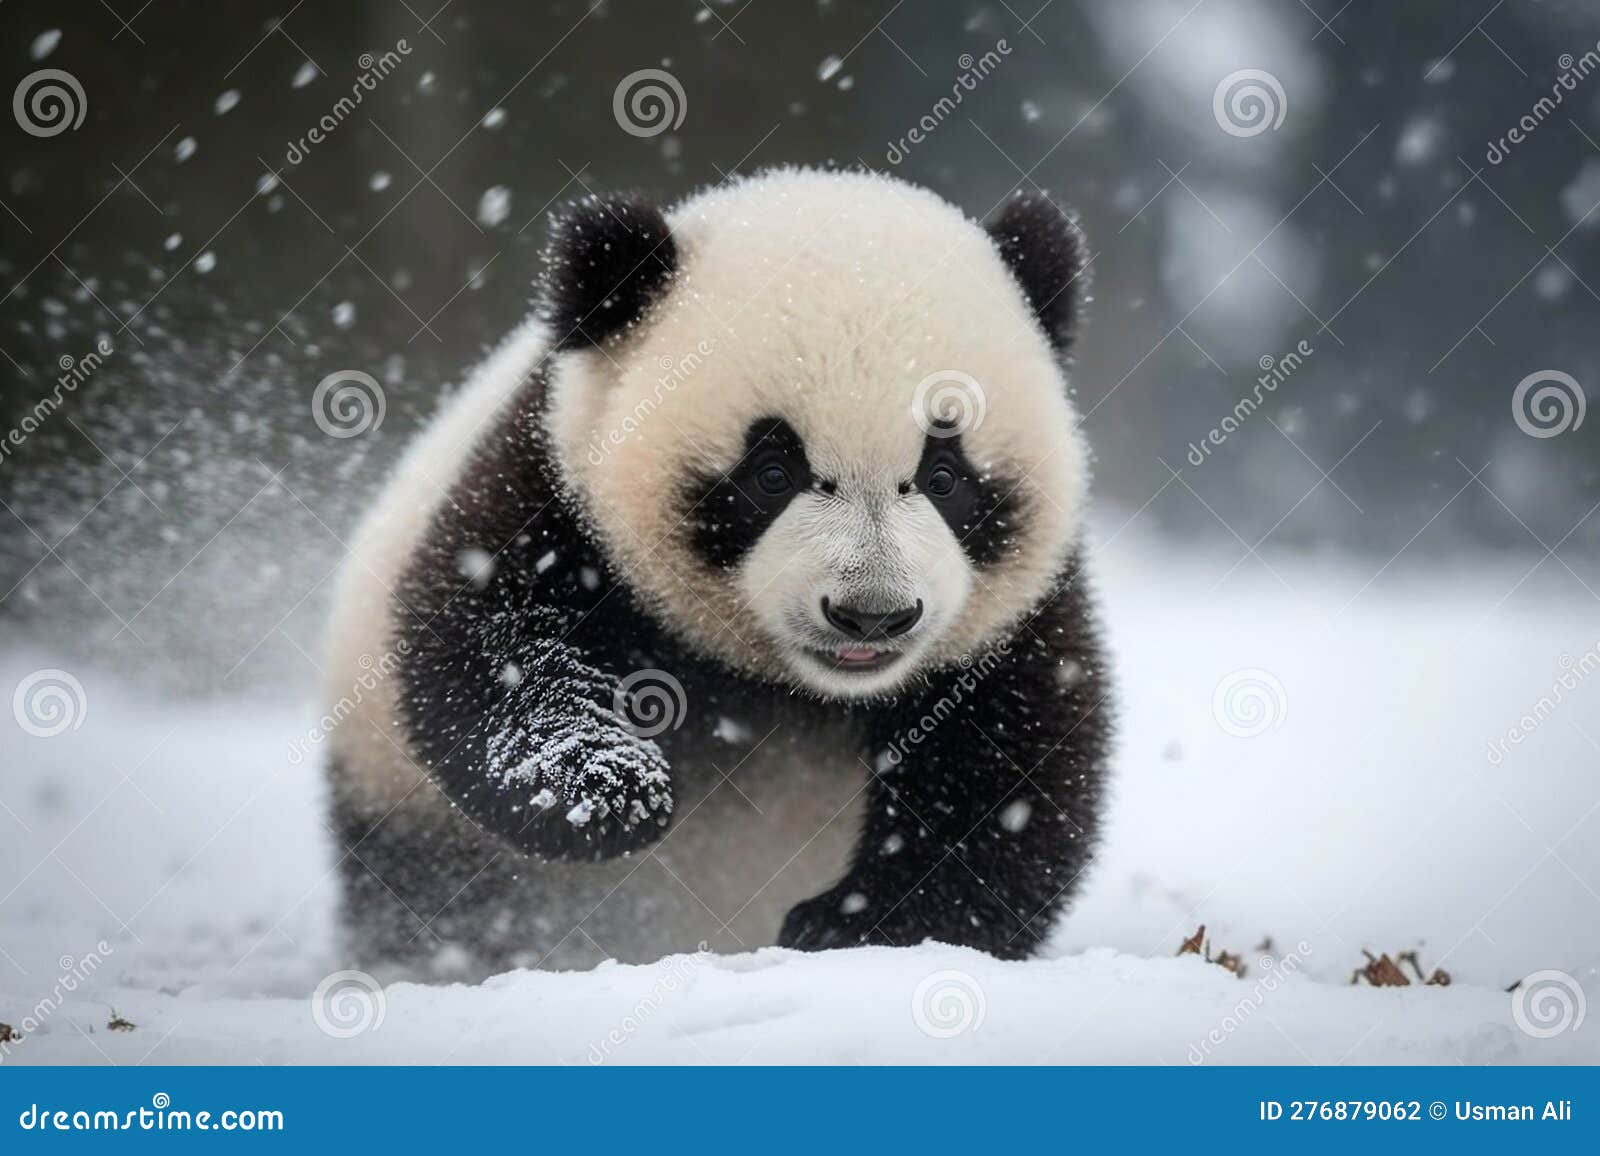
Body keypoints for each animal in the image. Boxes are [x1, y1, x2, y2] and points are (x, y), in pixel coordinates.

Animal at [323, 167, 1112, 979]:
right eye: (770, 473)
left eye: (945, 475)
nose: (871, 614)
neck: (791, 687)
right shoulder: (552, 490)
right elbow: (485, 647)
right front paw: (608, 788)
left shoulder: (1019, 620)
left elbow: (1013, 775)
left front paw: (852, 929)